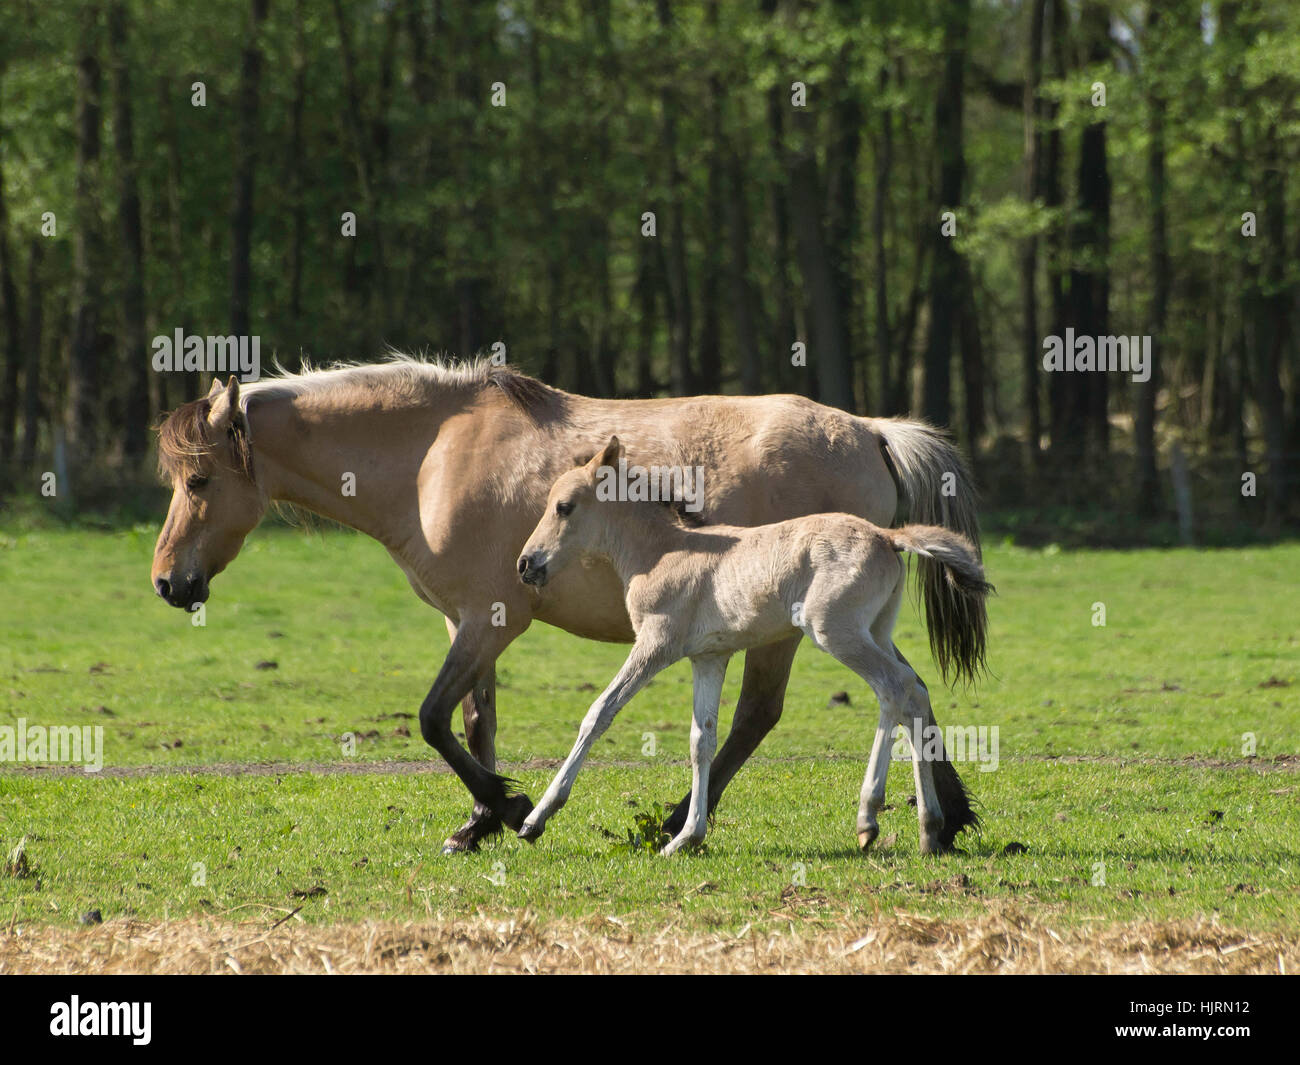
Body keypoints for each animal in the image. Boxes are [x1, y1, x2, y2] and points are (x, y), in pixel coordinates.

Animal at [516, 436, 993, 854]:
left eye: (564, 507)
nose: (525, 564)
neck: (662, 552)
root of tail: (888, 537)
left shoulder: (655, 645)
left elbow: (599, 713)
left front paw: (536, 819)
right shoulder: (709, 656)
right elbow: (701, 740)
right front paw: (686, 838)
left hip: (836, 632)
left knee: (895, 689)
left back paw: (870, 818)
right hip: (875, 630)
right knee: (913, 694)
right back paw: (929, 830)